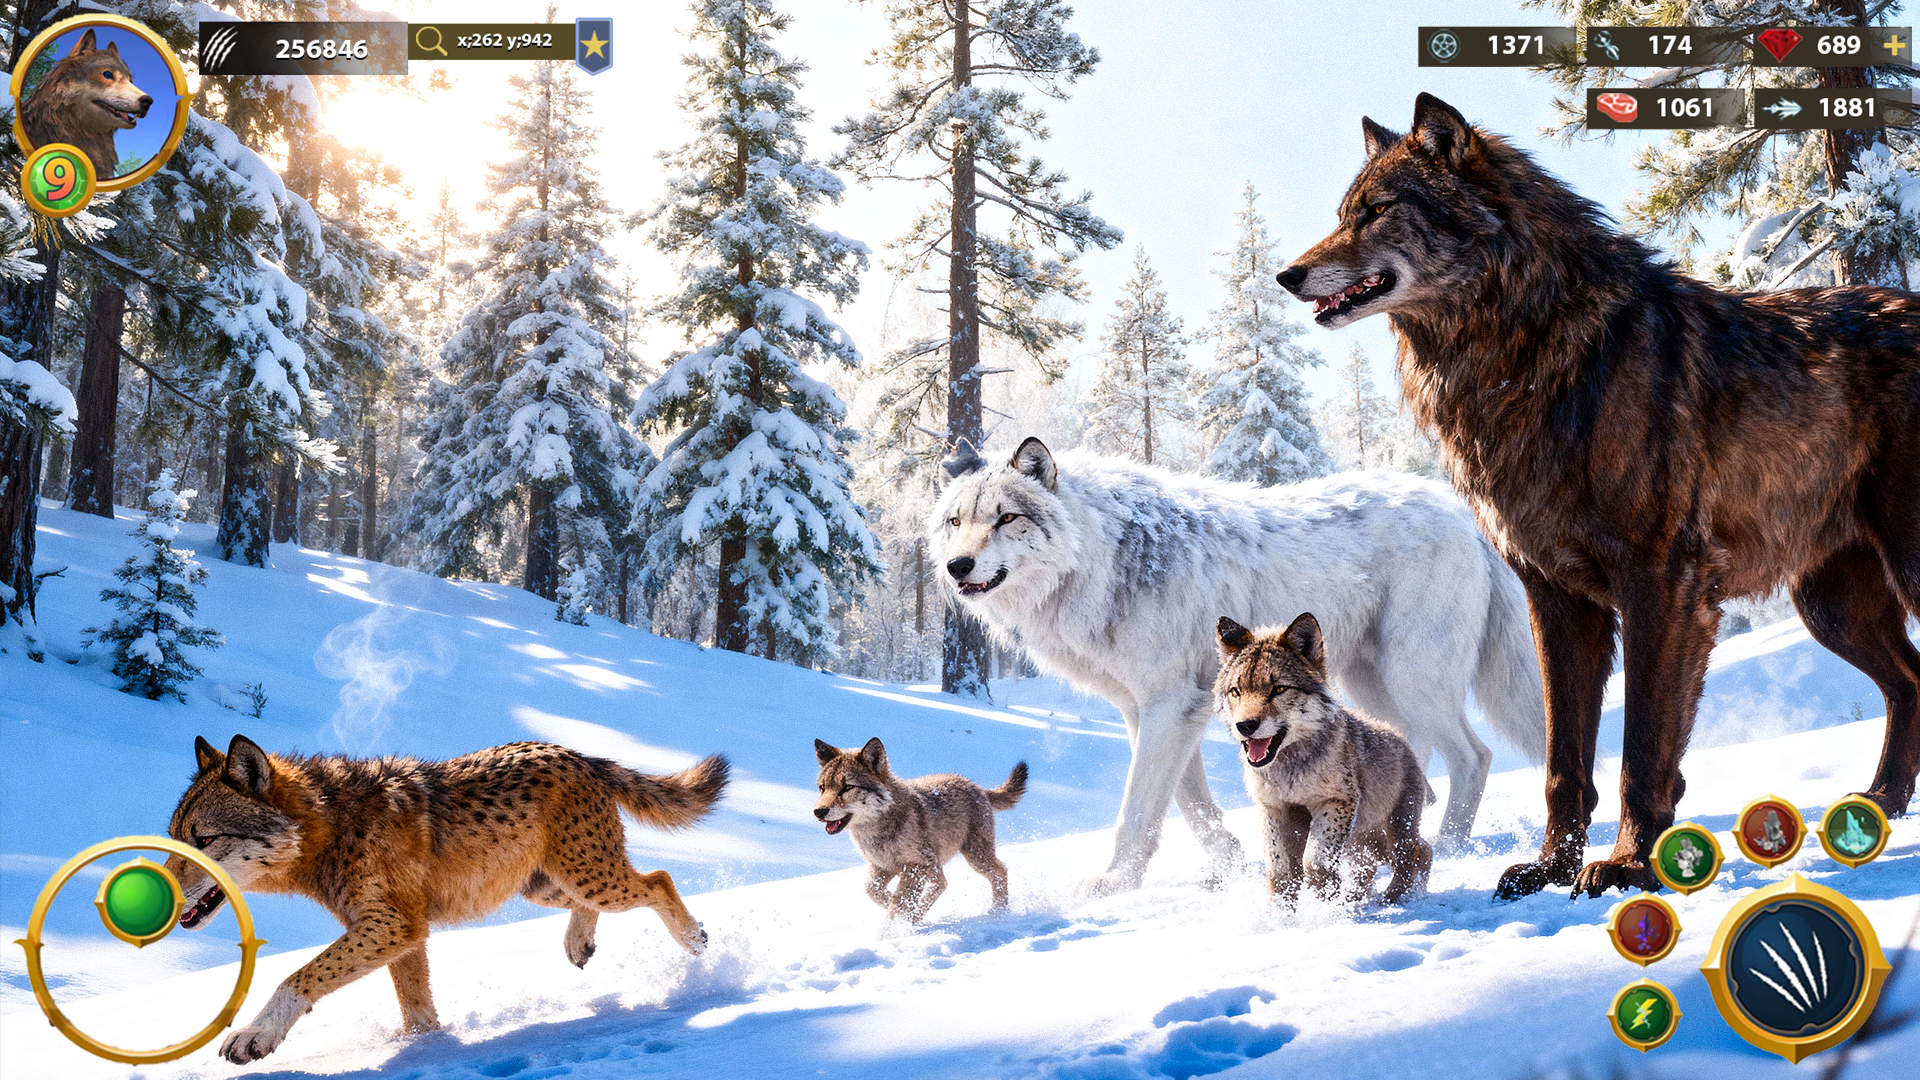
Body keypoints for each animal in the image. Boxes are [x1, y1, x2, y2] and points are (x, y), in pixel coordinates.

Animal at [166, 735, 728, 1063]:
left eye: (204, 840)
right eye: (174, 837)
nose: (163, 892)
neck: (331, 828)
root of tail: (575, 753)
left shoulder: (393, 926)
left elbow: (295, 978)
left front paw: (254, 1035)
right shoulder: (403, 934)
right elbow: (417, 1010)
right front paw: (427, 1048)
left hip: (591, 878)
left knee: (659, 879)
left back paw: (696, 943)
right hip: (545, 886)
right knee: (605, 900)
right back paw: (579, 943)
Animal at [813, 737, 1027, 922]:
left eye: (847, 787)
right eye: (823, 788)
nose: (818, 811)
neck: (879, 828)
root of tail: (976, 786)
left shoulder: (921, 867)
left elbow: (903, 903)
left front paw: (895, 930)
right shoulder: (883, 867)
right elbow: (876, 892)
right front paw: (900, 913)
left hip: (976, 857)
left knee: (1000, 871)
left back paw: (999, 912)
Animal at [1215, 614, 1430, 904]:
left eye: (1279, 689)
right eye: (1236, 691)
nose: (1245, 726)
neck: (1289, 770)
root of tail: (1402, 740)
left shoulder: (1335, 802)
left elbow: (1315, 863)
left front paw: (1325, 907)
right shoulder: (1273, 808)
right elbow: (1280, 871)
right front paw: (1281, 915)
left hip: (1394, 831)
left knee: (1415, 853)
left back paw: (1396, 896)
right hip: (1364, 843)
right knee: (1393, 860)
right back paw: (1357, 900)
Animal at [1278, 93, 1920, 900]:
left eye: (1379, 210)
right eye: (1343, 212)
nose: (1286, 275)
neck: (1526, 351)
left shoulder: (1661, 586)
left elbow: (1642, 749)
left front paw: (1631, 865)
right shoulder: (1557, 599)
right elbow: (1564, 758)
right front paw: (1553, 866)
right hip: (1830, 606)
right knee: (1911, 685)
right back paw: (1879, 807)